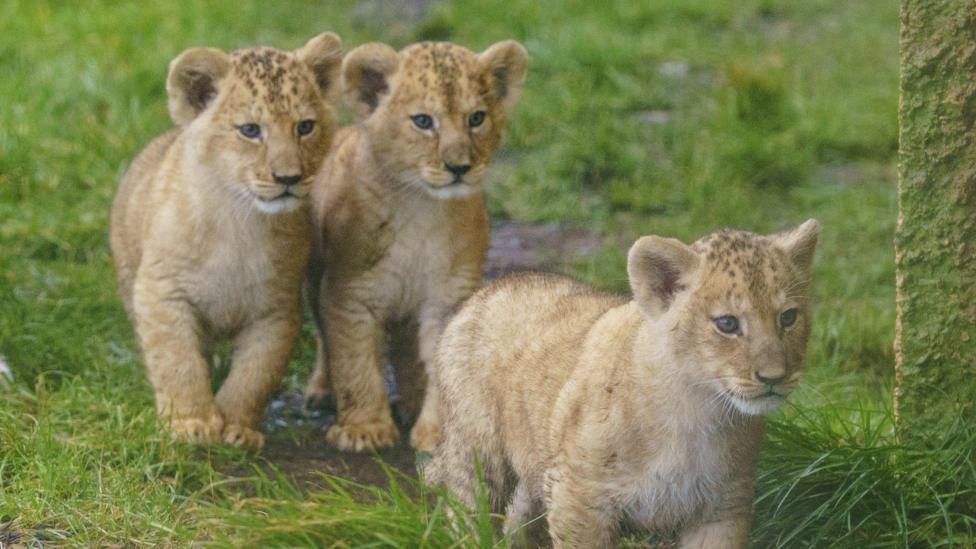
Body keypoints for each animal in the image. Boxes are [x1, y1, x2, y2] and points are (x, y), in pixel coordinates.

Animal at [109, 32, 343, 449]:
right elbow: (177, 361)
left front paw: (237, 428)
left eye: (305, 127)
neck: (241, 219)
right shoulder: (162, 292)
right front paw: (190, 423)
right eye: (250, 130)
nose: (289, 178)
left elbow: (255, 374)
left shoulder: (277, 309)